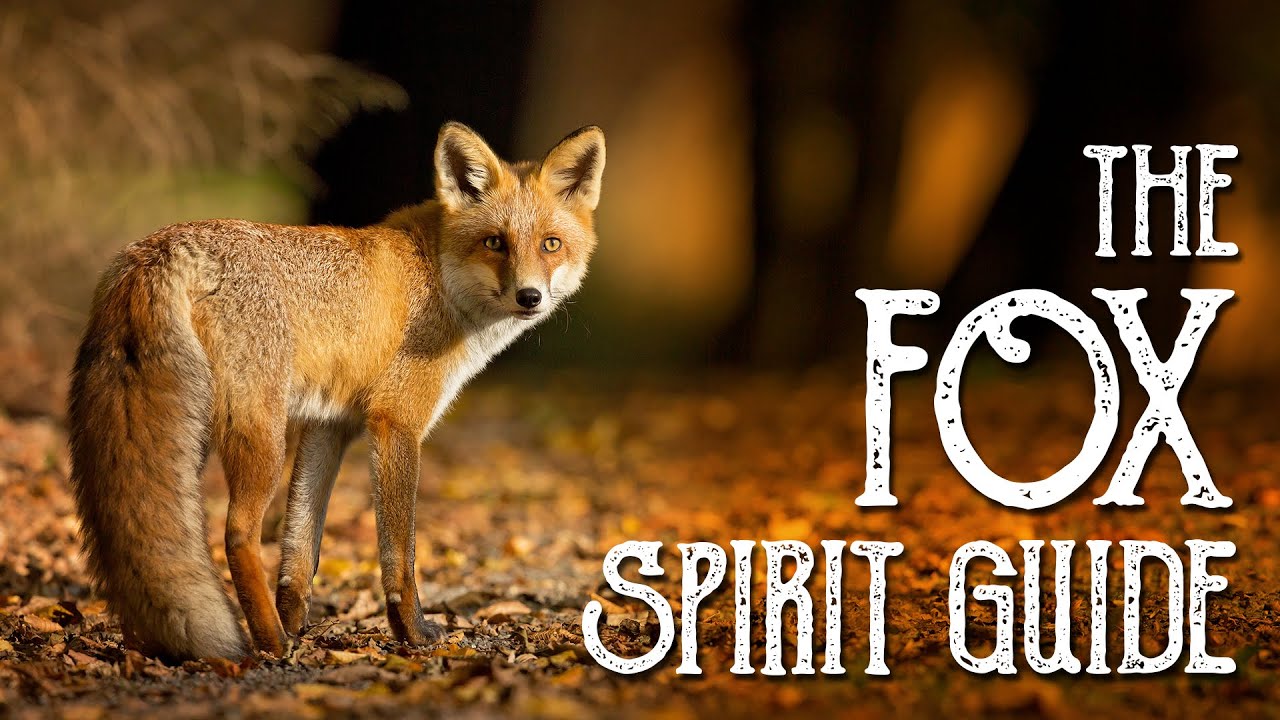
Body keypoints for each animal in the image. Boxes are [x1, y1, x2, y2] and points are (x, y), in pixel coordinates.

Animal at [66, 122, 605, 661]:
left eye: (551, 244)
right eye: (495, 242)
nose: (530, 297)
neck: (436, 276)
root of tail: (160, 248)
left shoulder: (329, 425)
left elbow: (301, 548)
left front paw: (297, 620)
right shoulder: (395, 421)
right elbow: (399, 552)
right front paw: (411, 632)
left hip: (193, 432)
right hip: (259, 435)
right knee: (237, 533)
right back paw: (270, 643)